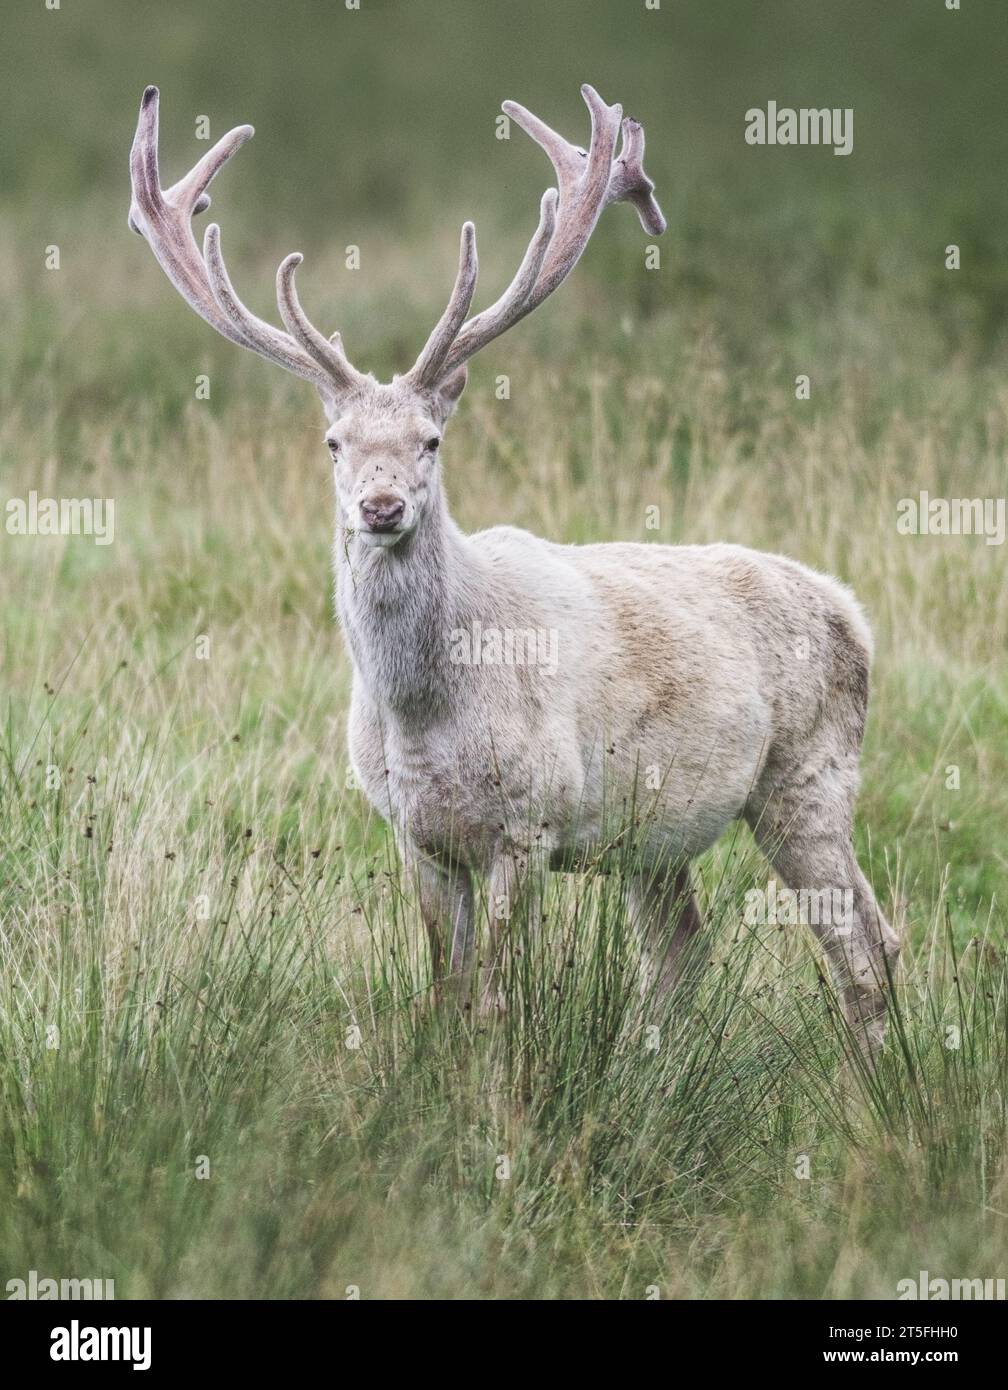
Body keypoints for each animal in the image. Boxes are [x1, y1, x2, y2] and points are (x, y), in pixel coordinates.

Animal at [128, 84, 900, 1048]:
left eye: (431, 439)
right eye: (334, 442)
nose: (382, 508)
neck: (425, 714)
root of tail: (852, 609)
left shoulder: (529, 823)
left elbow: (496, 1002)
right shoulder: (415, 836)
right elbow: (446, 994)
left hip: (810, 775)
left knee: (858, 947)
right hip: (657, 832)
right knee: (698, 947)